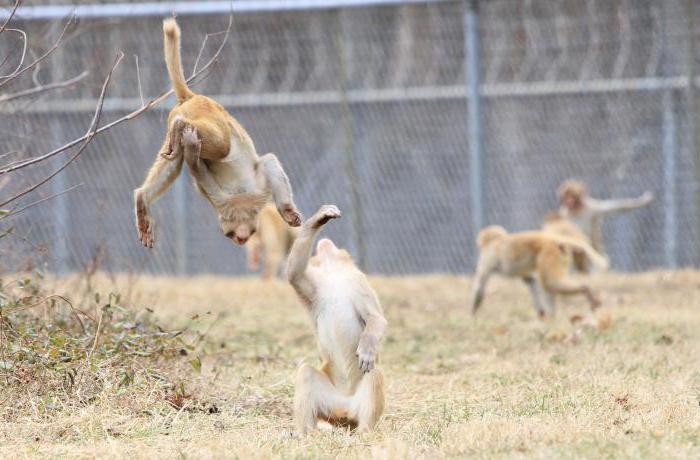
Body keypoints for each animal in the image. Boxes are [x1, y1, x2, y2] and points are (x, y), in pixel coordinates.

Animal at [134, 18, 300, 248]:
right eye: (230, 234)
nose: (240, 240)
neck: (240, 198)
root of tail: (193, 97)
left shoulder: (226, 198)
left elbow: (266, 162)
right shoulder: (227, 197)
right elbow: (267, 161)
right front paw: (287, 211)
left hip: (196, 116)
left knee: (175, 156)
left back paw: (142, 196)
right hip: (210, 116)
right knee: (223, 146)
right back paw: (180, 125)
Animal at [286, 205, 388, 434]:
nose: (324, 242)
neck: (334, 276)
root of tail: (343, 410)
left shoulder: (358, 282)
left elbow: (376, 318)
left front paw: (367, 347)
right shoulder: (316, 287)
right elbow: (295, 274)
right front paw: (318, 219)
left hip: (358, 404)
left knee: (374, 373)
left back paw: (365, 432)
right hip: (328, 403)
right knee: (306, 373)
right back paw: (304, 433)